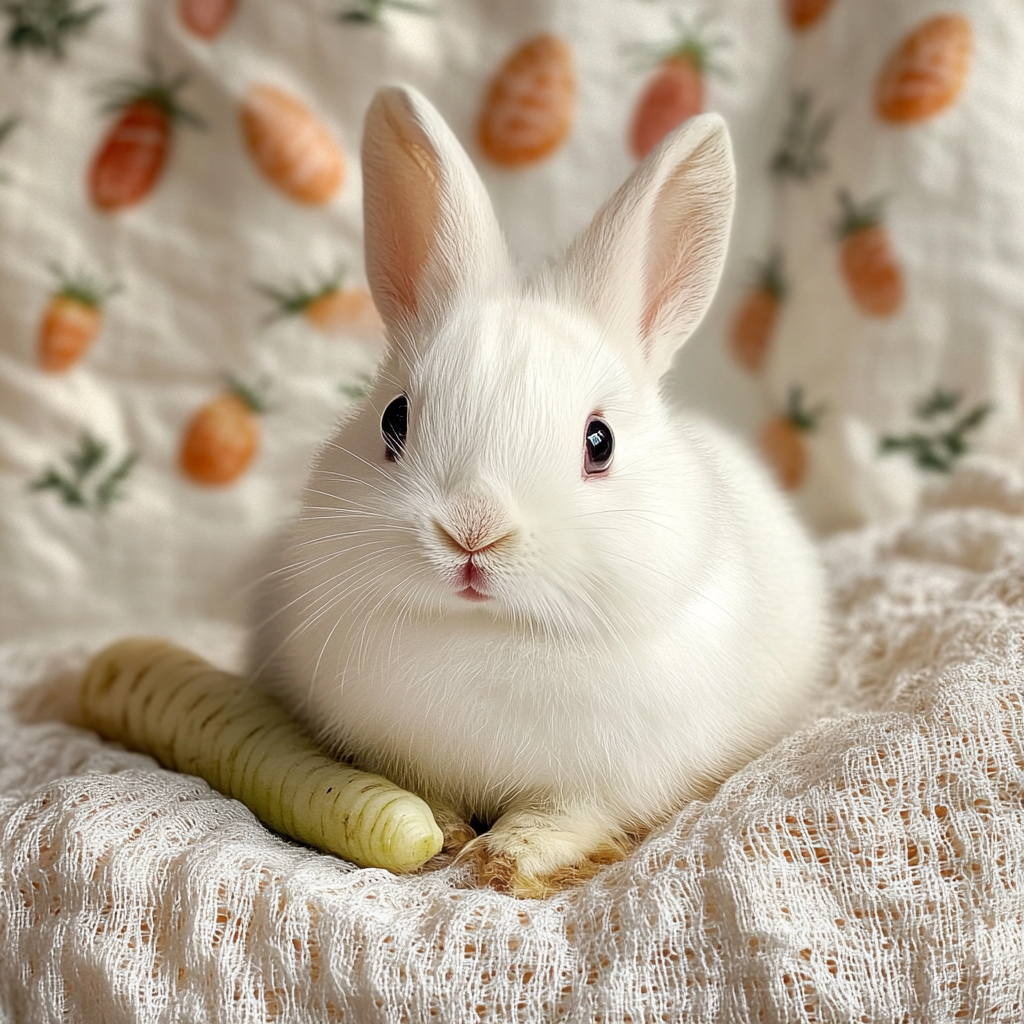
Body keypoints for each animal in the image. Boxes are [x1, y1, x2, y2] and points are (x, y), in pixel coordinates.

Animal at [252, 86, 831, 897]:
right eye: (395, 418)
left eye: (600, 441)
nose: (473, 530)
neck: (489, 634)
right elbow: (423, 793)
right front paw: (446, 836)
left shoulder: (602, 783)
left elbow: (565, 816)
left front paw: (511, 860)